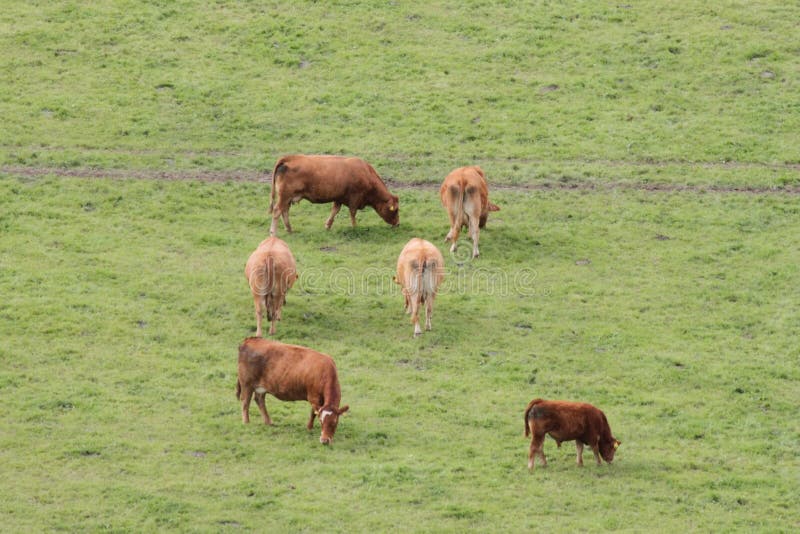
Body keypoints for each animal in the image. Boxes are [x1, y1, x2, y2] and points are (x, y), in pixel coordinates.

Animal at [268, 154, 400, 235]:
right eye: (396, 210)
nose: (398, 224)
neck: (366, 174)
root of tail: (289, 158)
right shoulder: (354, 198)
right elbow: (352, 213)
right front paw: (355, 227)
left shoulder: (339, 198)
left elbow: (335, 211)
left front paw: (328, 225)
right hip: (284, 196)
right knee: (277, 210)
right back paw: (273, 232)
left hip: (287, 198)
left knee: (285, 211)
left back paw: (289, 229)